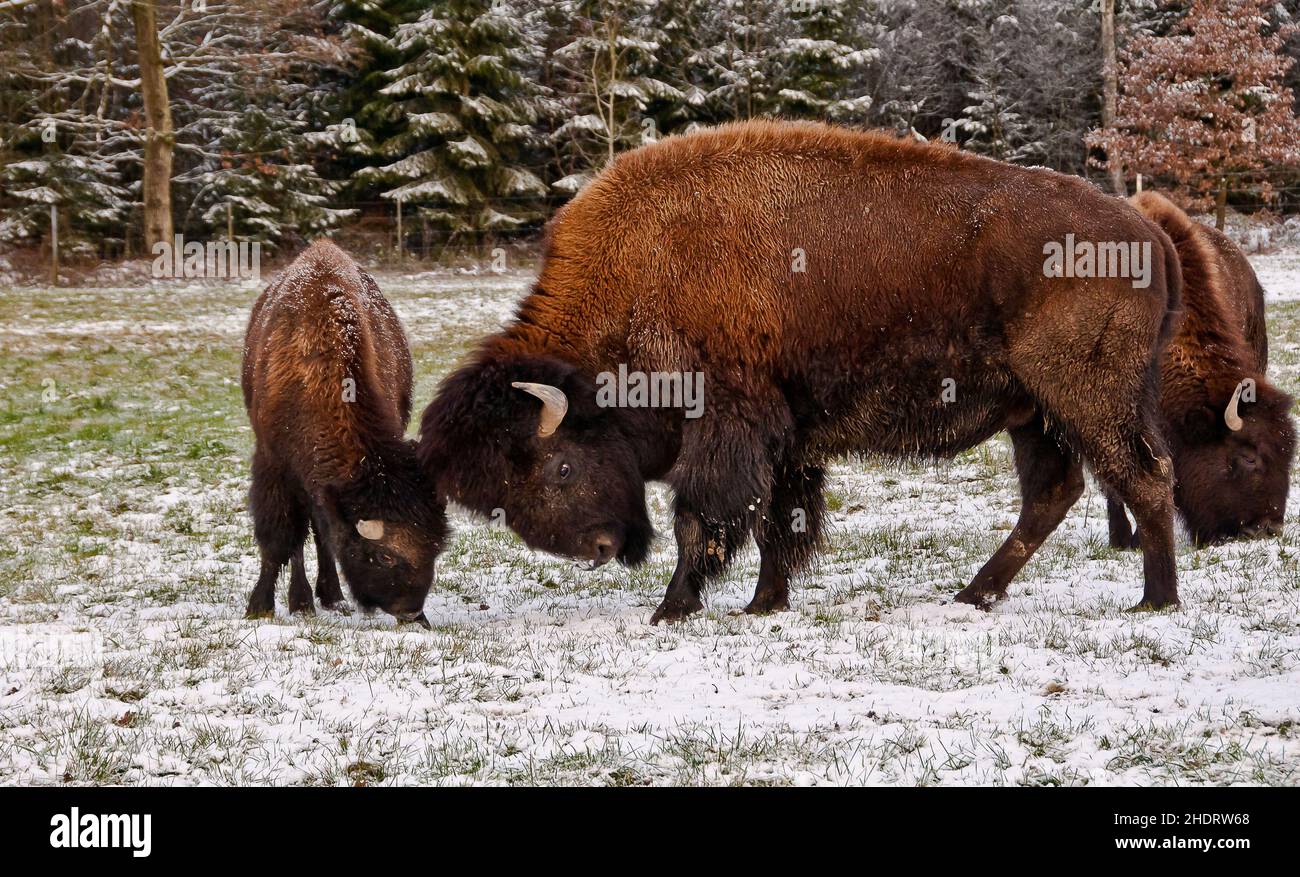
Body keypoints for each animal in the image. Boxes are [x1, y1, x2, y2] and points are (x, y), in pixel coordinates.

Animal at [243, 240, 446, 625]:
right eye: (384, 555)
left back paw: (332, 596)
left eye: (435, 548)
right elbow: (280, 539)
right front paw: (263, 605)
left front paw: (316, 598)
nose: (412, 612)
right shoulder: (275, 465)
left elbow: (321, 534)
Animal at [418, 121, 1184, 621]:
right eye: (500, 501)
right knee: (1052, 494)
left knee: (1143, 477)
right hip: (1035, 411)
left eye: (561, 467)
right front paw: (765, 602)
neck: (636, 277)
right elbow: (777, 521)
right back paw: (976, 594)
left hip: (1086, 398)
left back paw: (1155, 600)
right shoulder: (788, 439)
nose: (600, 548)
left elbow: (706, 516)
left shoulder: (727, 427)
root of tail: (1142, 230)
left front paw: (673, 607)